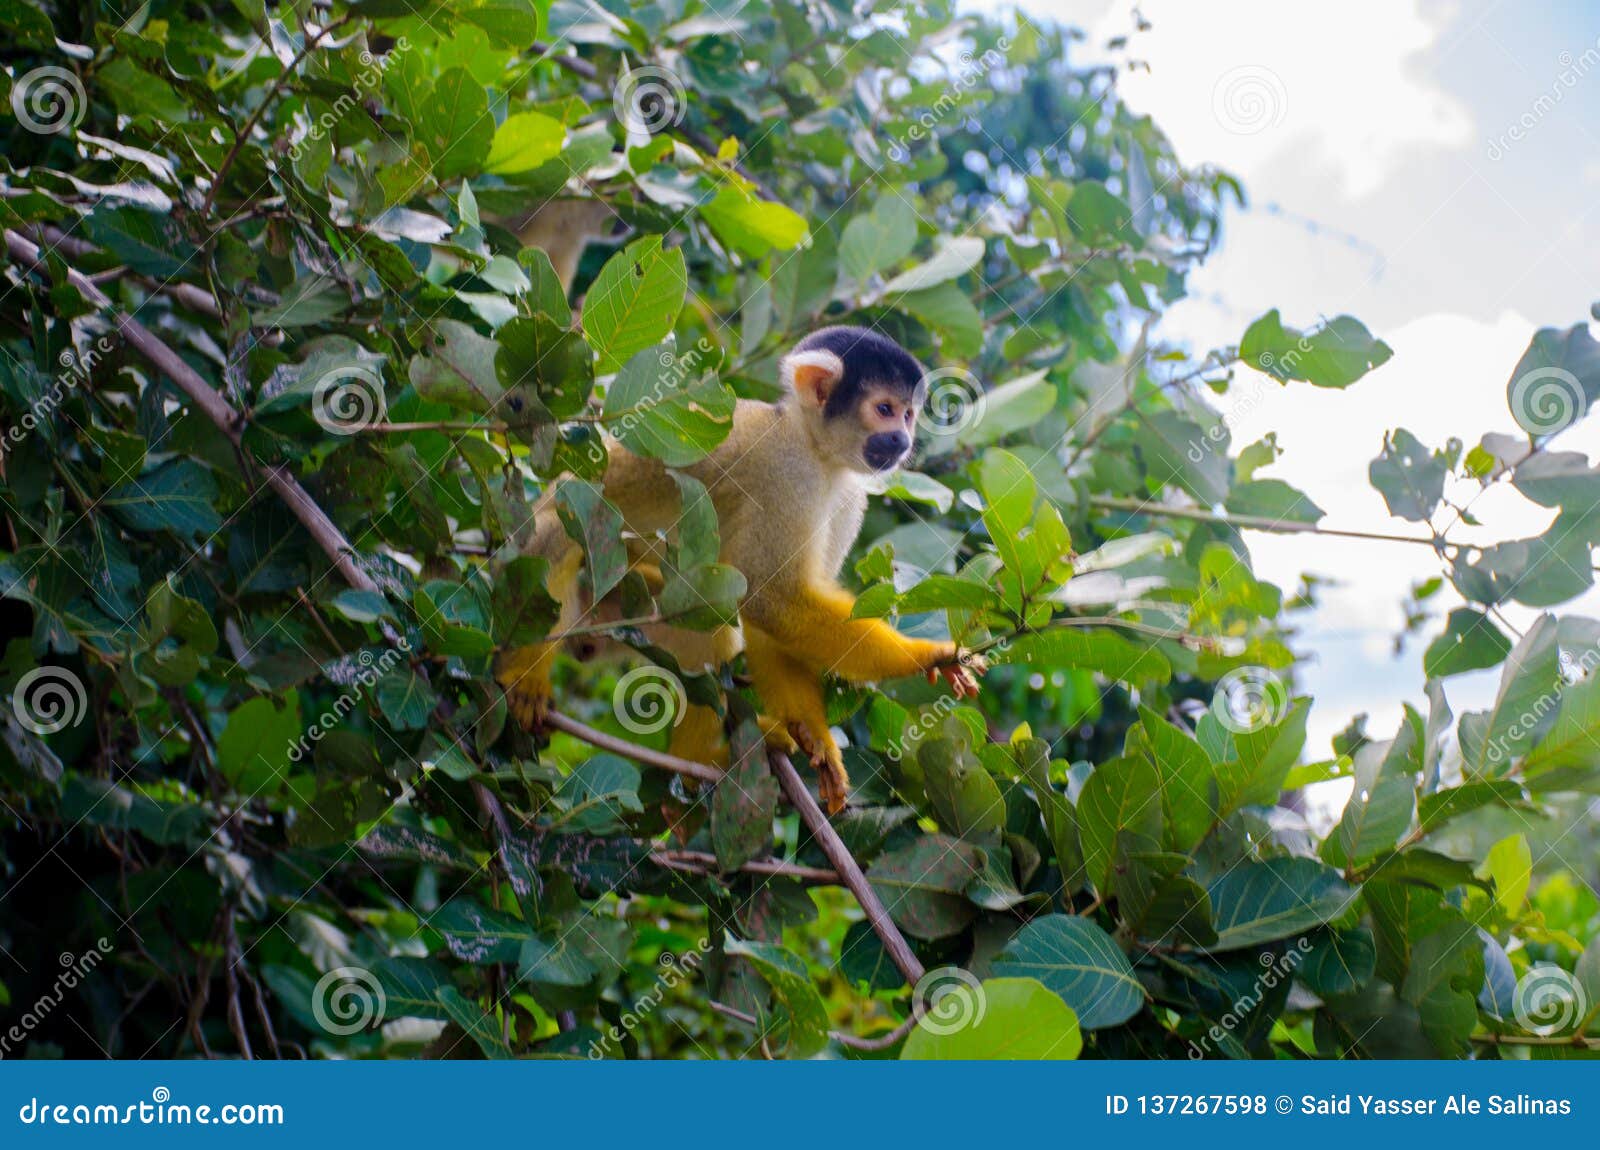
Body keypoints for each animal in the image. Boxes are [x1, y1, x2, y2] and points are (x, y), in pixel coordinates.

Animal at [493, 325, 987, 813]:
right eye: (884, 410)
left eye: (908, 415)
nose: (902, 440)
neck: (816, 451)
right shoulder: (786, 475)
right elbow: (768, 594)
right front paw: (928, 655)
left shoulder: (849, 499)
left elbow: (773, 621)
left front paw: (816, 738)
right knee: (565, 532)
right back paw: (534, 678)